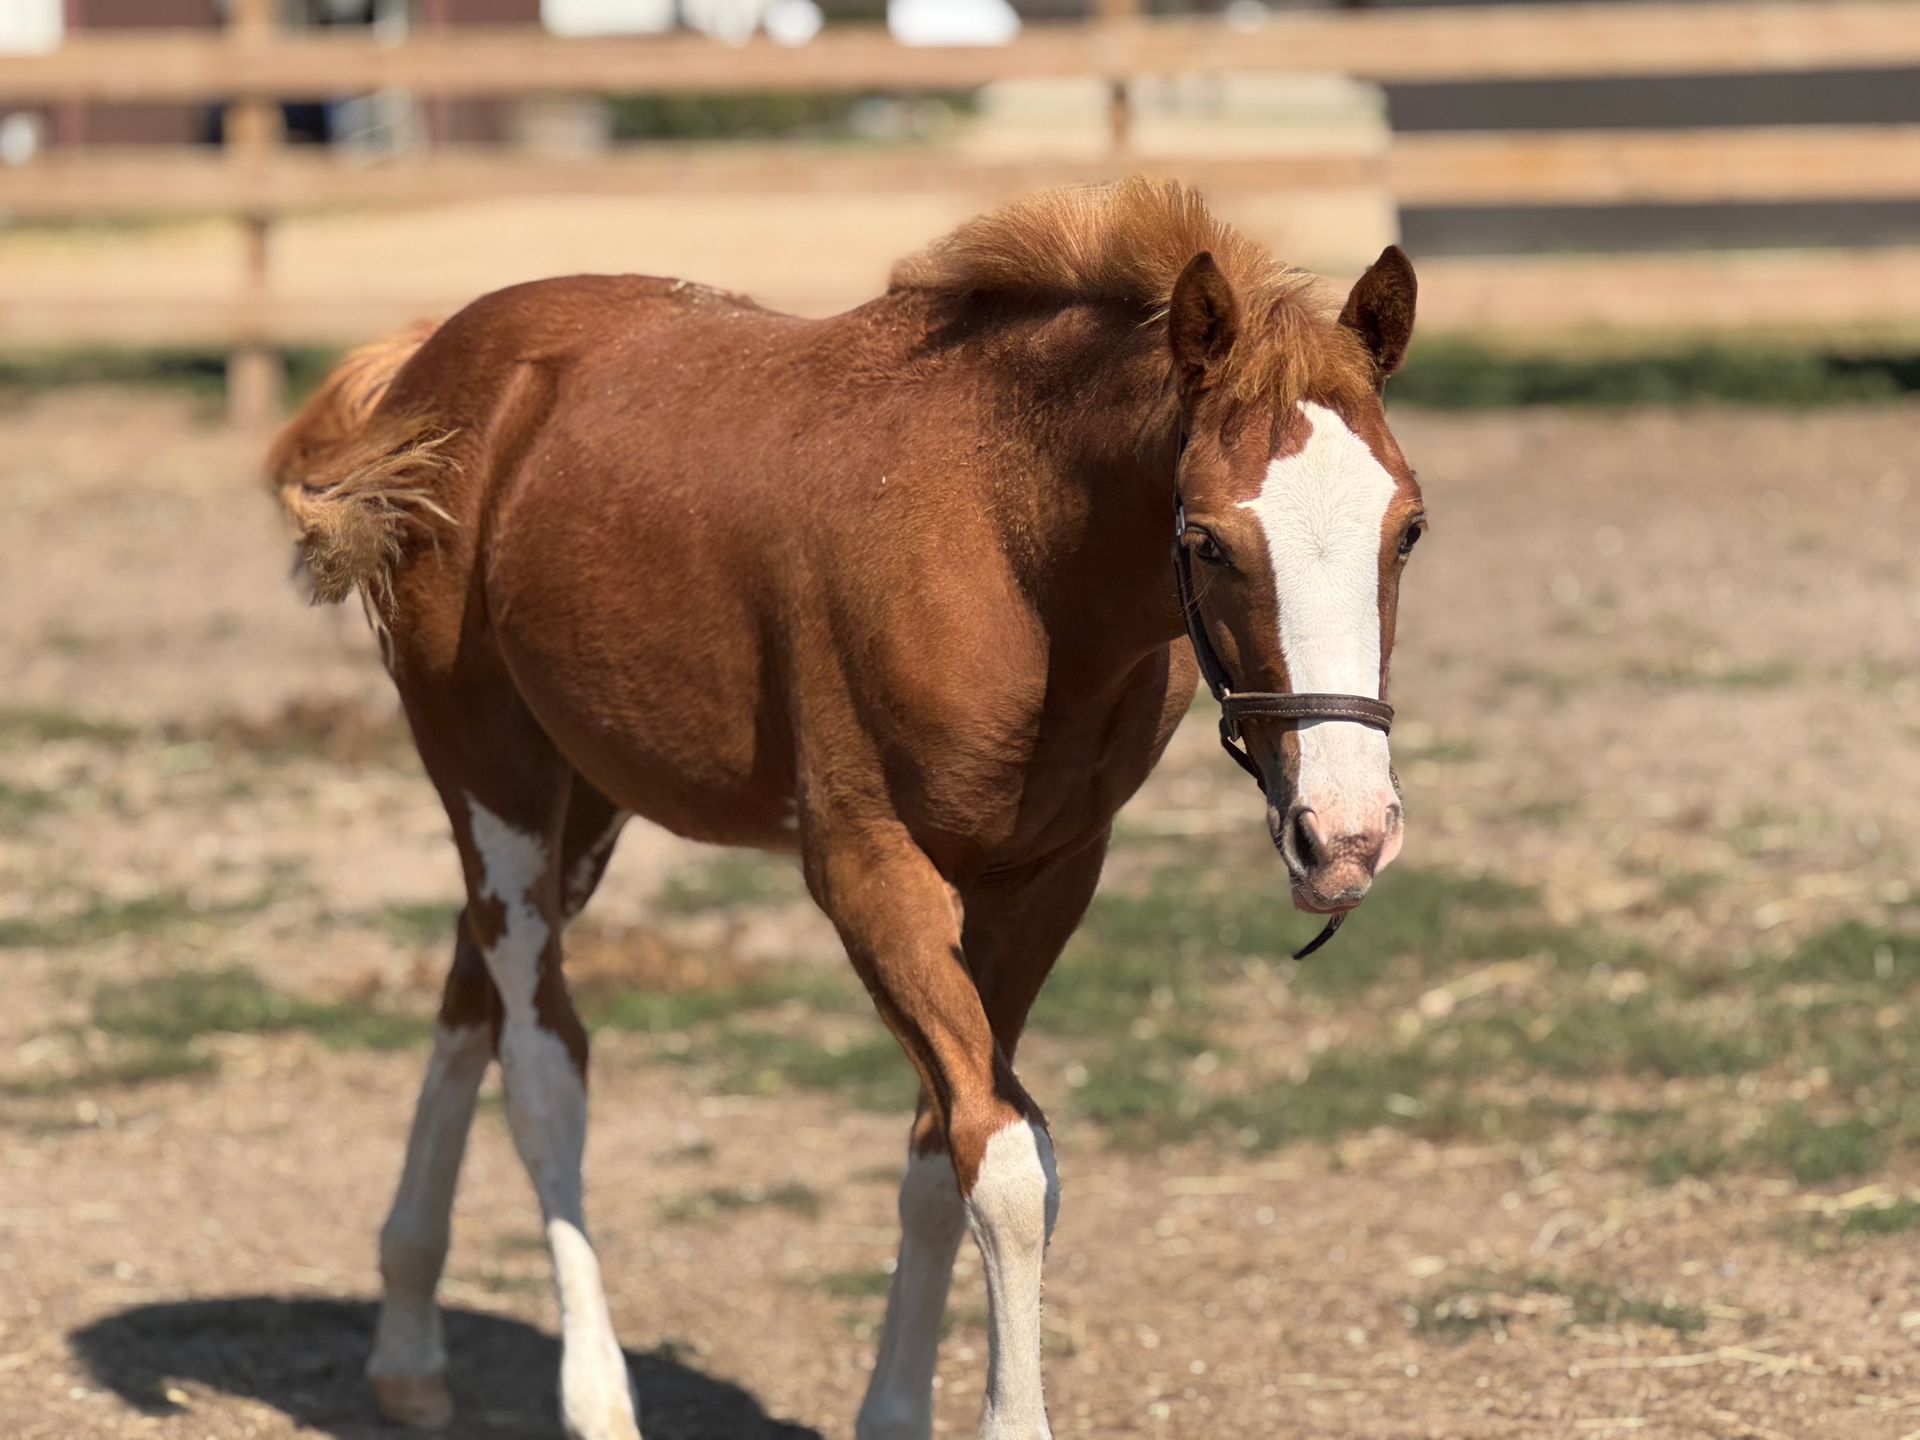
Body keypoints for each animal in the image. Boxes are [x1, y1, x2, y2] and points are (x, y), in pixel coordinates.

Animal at [266, 177, 1425, 1440]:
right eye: (1207, 541)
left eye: (1409, 528)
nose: (1345, 836)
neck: (1007, 541)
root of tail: (435, 359)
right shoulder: (870, 869)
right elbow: (1005, 1161)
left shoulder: (1044, 878)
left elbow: (941, 1147)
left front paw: (897, 1409)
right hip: (489, 768)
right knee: (539, 1061)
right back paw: (594, 1395)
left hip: (589, 801)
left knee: (466, 990)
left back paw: (408, 1346)